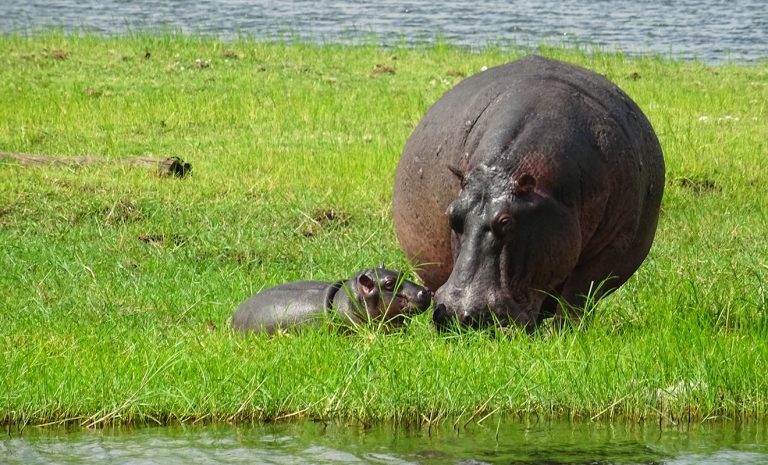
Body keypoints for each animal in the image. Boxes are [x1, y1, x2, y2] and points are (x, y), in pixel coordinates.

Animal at [392, 55, 664, 330]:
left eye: (506, 221)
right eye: (452, 214)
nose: (458, 313)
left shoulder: (613, 245)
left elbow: (579, 293)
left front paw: (562, 332)